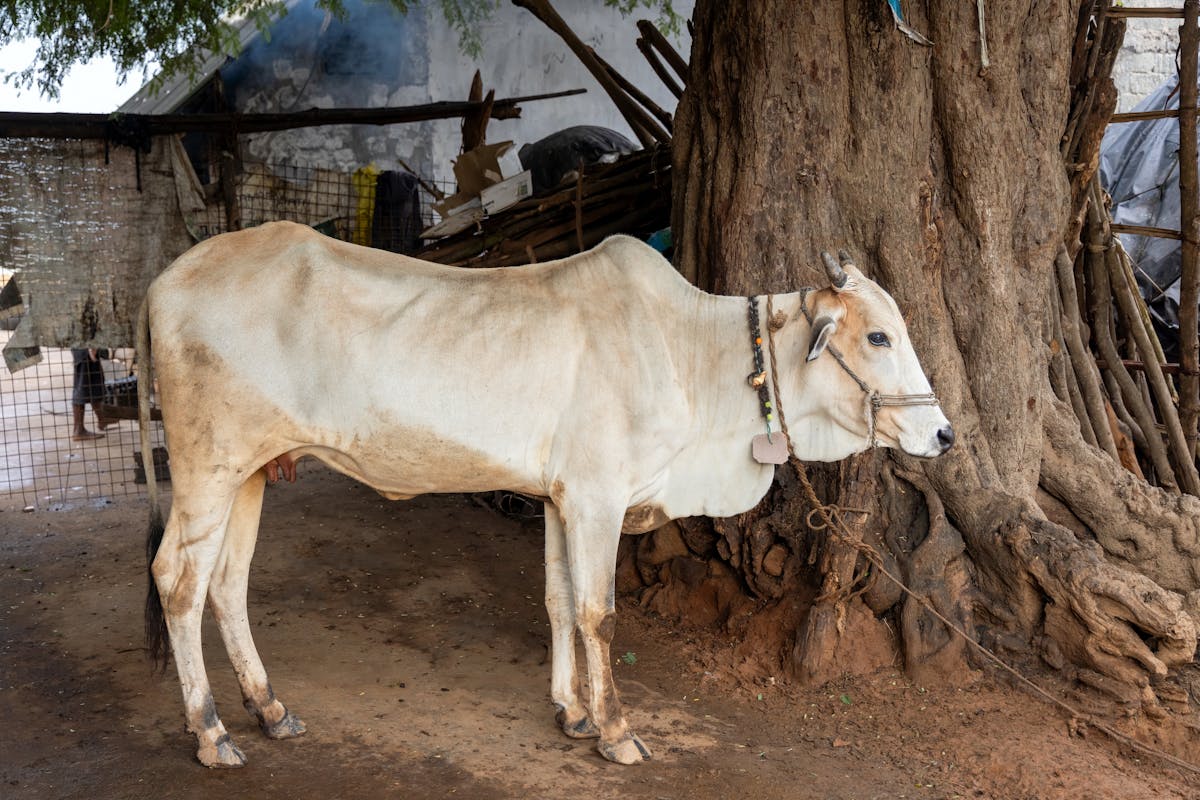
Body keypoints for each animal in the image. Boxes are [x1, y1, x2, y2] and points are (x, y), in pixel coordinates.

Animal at [137, 221, 953, 768]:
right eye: (878, 337)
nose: (943, 434)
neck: (692, 354)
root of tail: (163, 281)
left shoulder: (563, 498)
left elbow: (561, 602)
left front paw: (573, 714)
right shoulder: (597, 495)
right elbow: (600, 614)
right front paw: (617, 732)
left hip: (251, 471)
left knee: (226, 585)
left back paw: (269, 708)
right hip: (208, 466)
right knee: (178, 580)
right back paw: (210, 730)